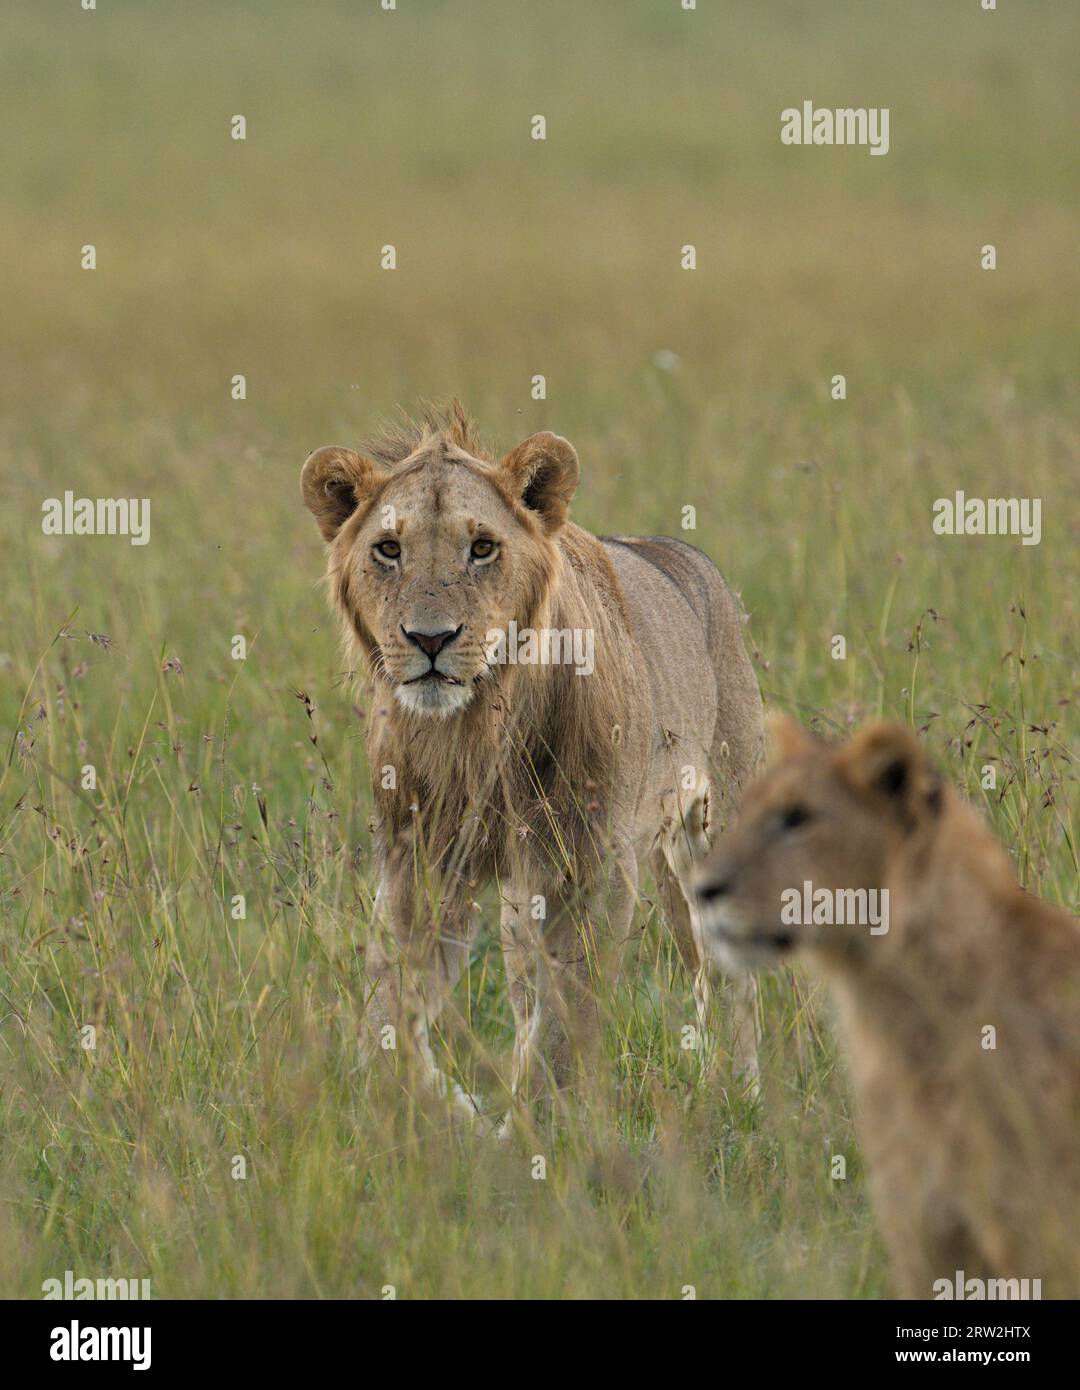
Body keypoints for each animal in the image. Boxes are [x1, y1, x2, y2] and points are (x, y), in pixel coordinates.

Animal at [300, 402, 764, 1126]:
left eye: (482, 548)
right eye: (388, 549)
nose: (430, 639)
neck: (475, 730)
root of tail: (685, 554)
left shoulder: (592, 864)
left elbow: (568, 1013)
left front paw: (542, 1123)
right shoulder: (421, 859)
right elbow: (390, 1001)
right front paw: (437, 1104)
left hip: (712, 832)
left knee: (726, 976)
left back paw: (742, 1091)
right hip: (523, 900)